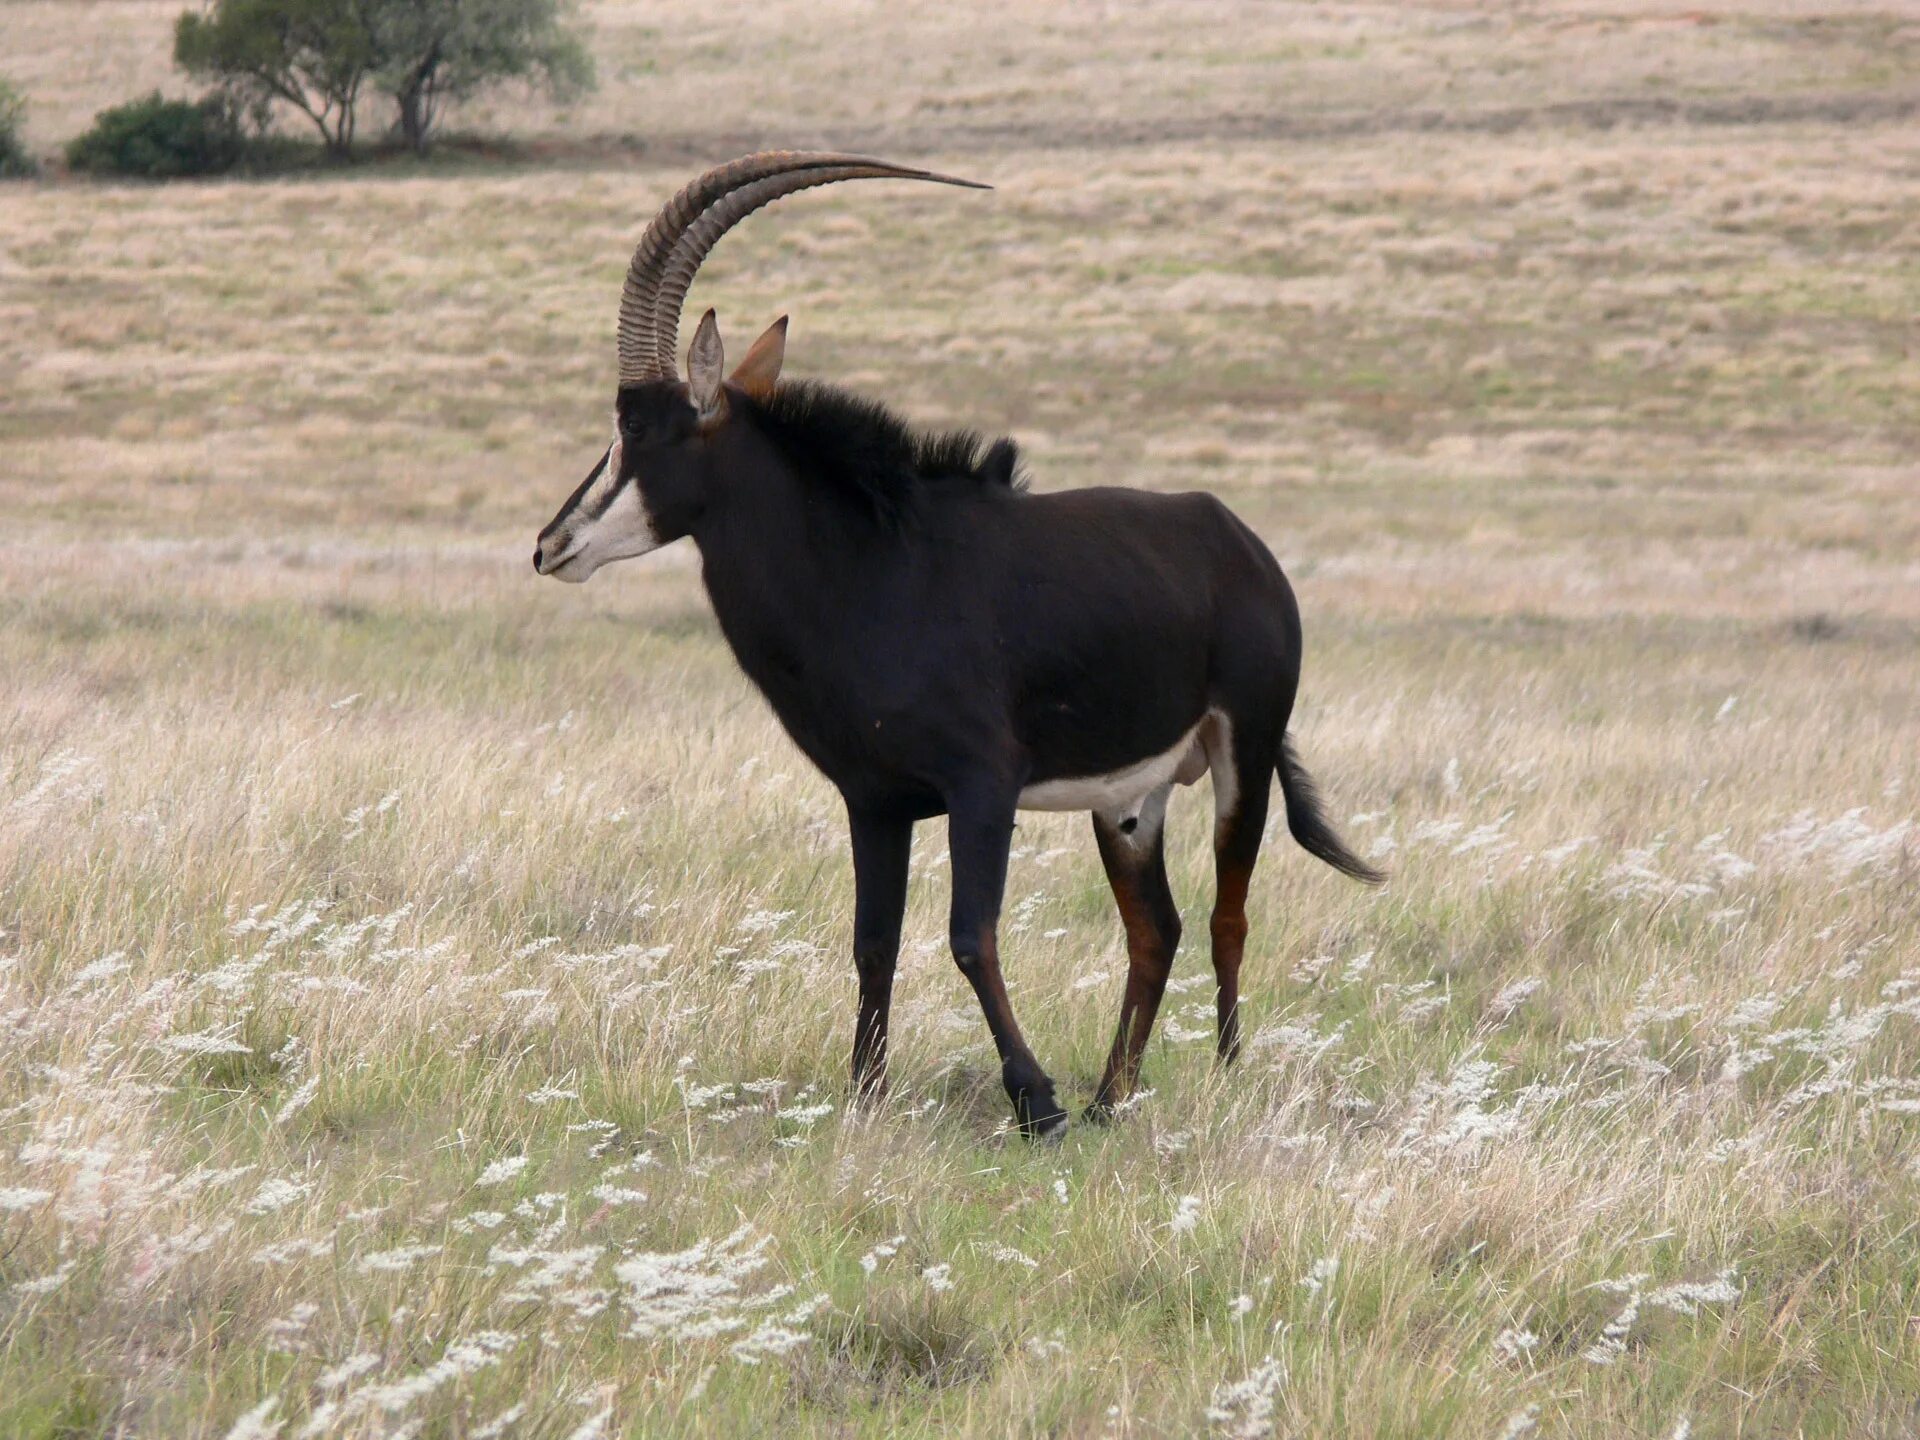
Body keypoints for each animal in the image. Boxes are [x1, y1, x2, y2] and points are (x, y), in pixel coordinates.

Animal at [537, 155, 1382, 1136]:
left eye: (636, 429)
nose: (550, 546)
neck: (871, 565)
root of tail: (1240, 543)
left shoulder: (983, 786)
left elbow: (969, 937)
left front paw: (1036, 1101)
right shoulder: (875, 802)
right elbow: (874, 942)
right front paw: (866, 1096)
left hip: (1242, 754)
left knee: (1225, 919)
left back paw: (1222, 1076)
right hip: (1127, 801)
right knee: (1157, 928)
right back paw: (1111, 1099)